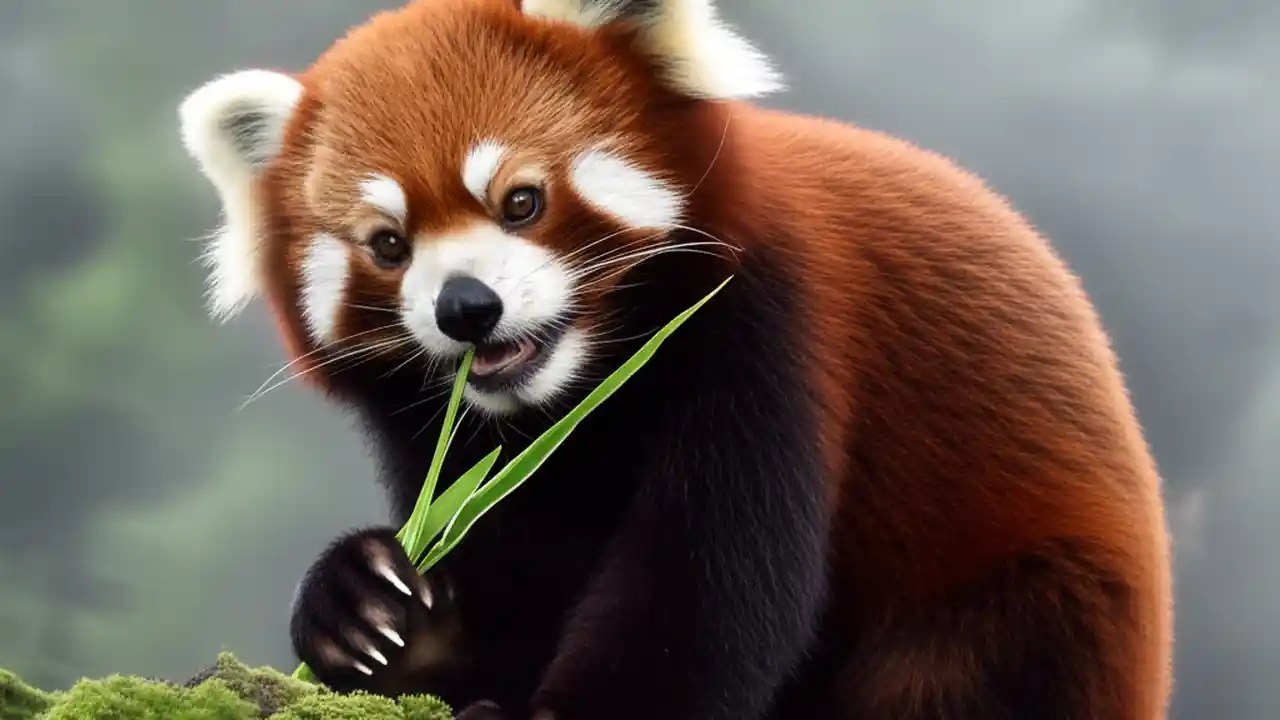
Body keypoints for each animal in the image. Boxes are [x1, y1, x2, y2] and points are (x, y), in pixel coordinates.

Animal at [176, 1, 1174, 718]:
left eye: (521, 201)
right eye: (388, 244)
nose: (466, 308)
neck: (584, 394)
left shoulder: (770, 342)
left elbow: (707, 595)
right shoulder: (457, 440)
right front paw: (368, 613)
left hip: (1027, 599)